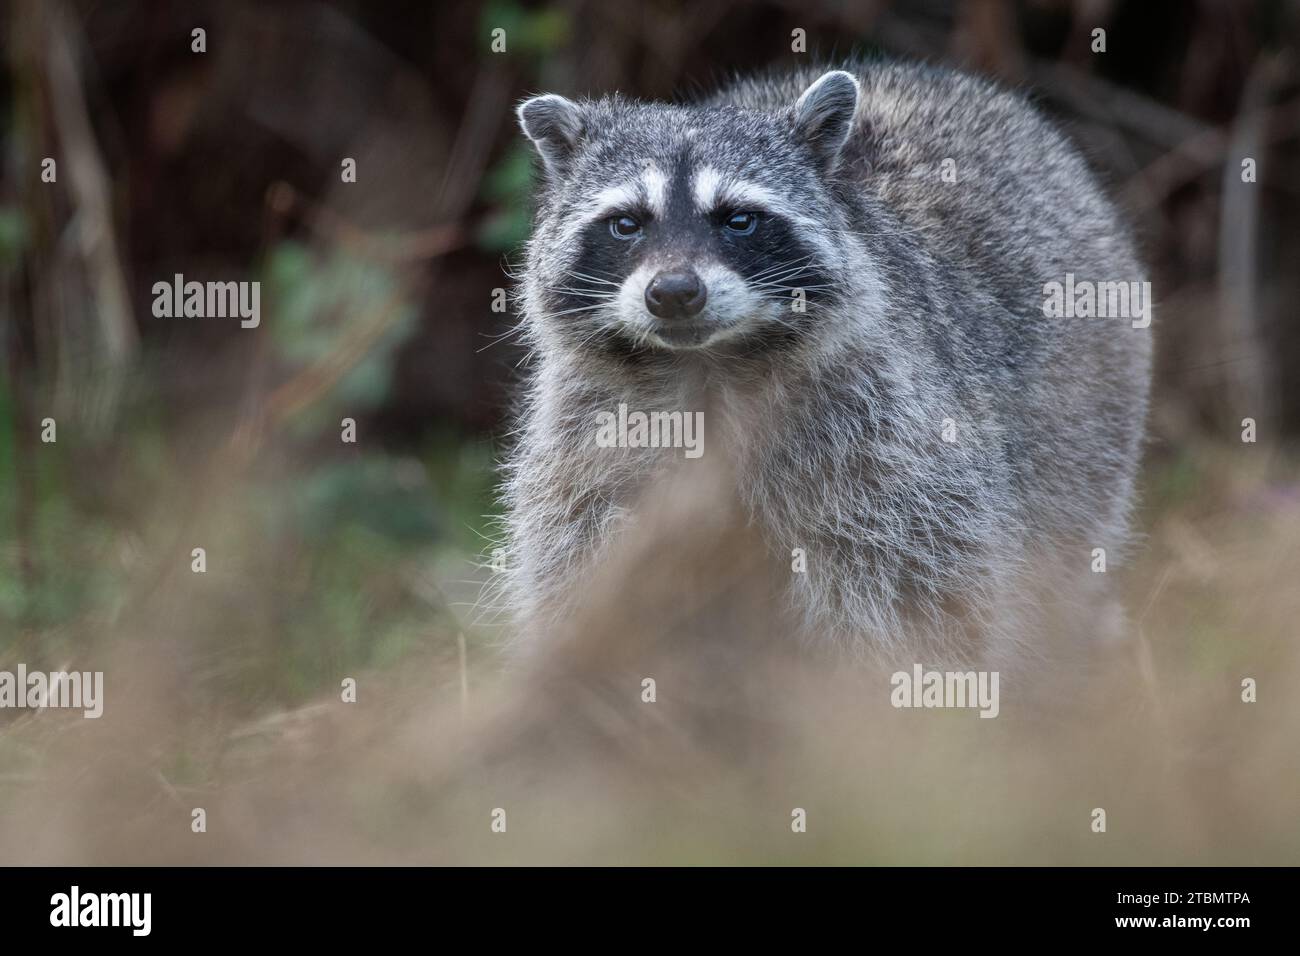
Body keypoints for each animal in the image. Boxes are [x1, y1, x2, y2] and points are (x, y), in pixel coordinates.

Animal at [497, 61, 1152, 670]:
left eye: (738, 219)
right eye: (626, 223)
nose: (675, 292)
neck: (704, 364)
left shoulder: (884, 440)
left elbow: (911, 595)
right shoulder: (592, 441)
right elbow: (580, 573)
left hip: (1089, 422)